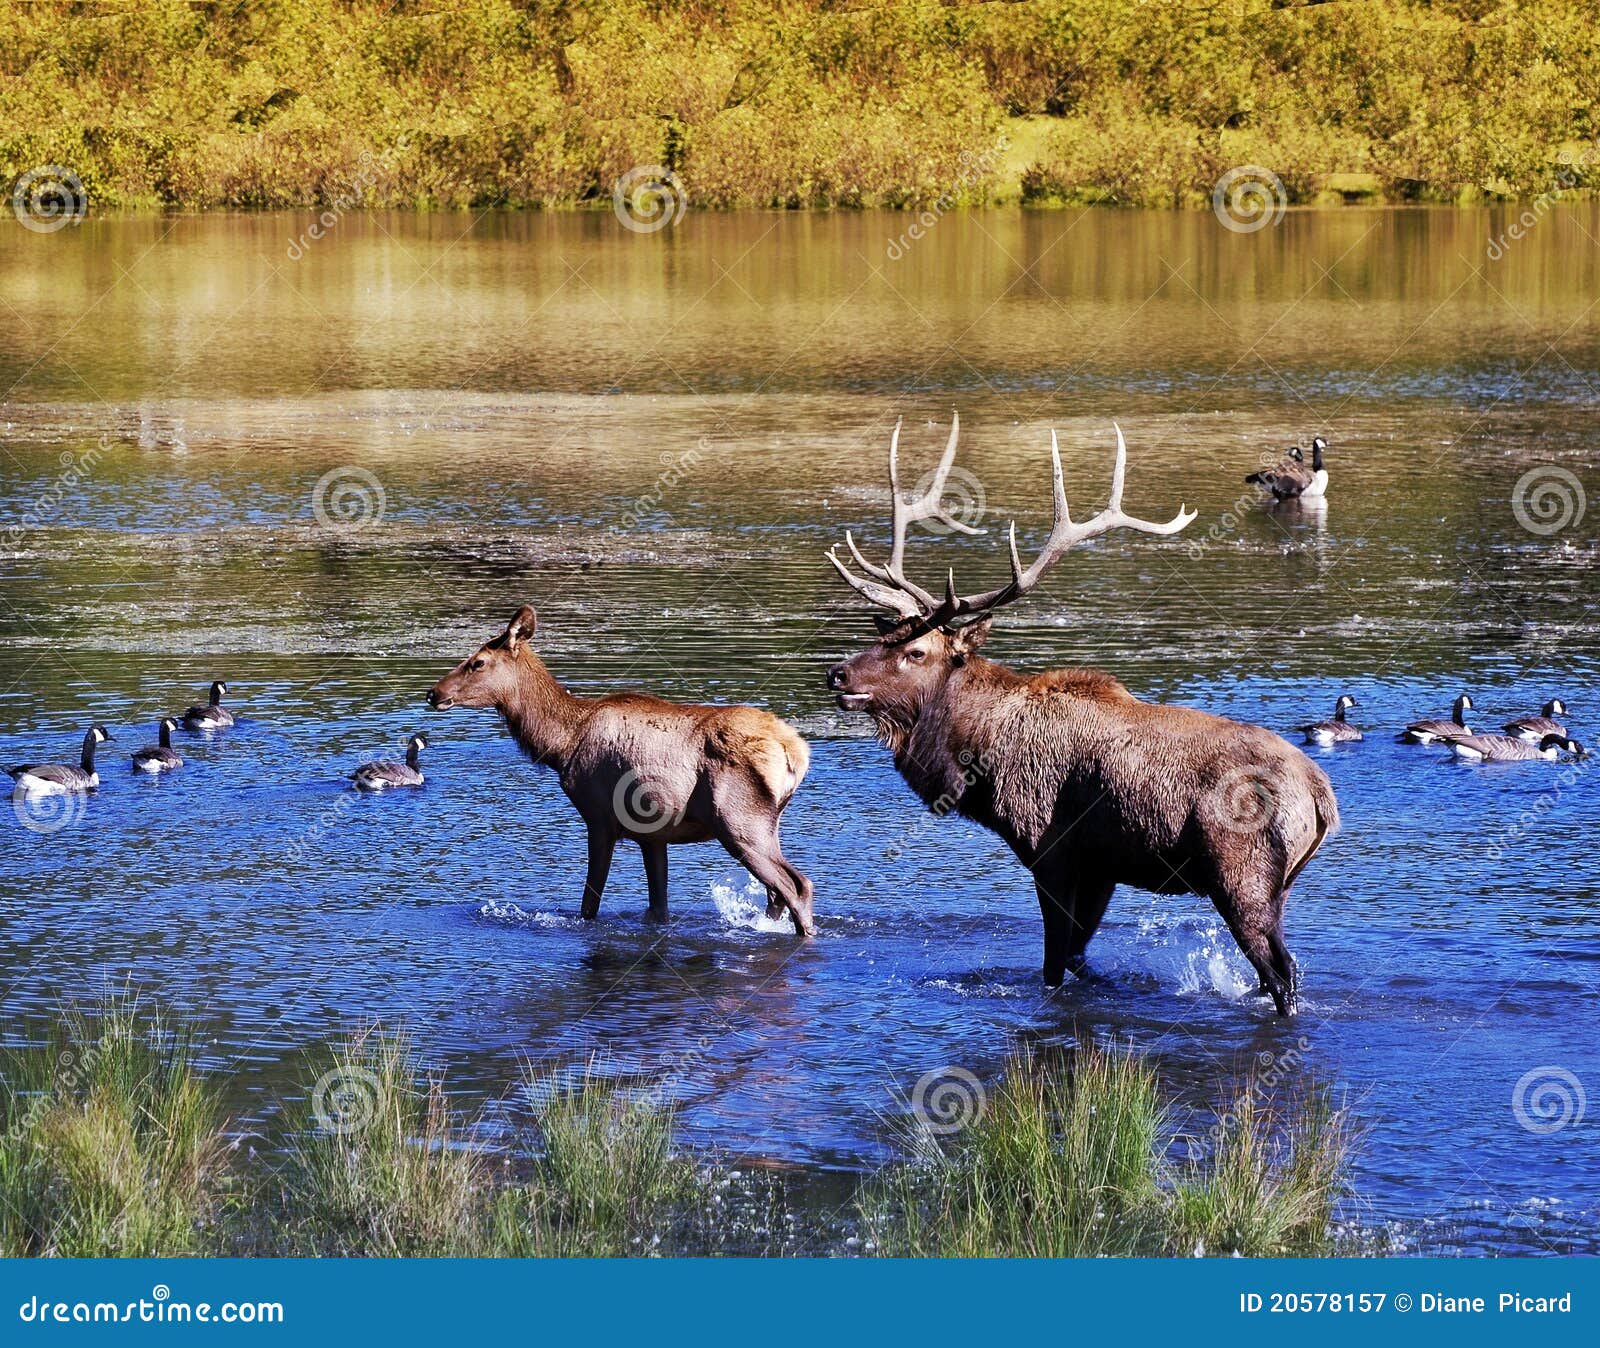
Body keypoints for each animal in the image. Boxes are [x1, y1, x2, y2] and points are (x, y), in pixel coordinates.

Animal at [427, 605, 815, 934]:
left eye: (477, 662)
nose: (434, 693)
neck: (562, 743)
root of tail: (795, 752)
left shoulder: (599, 817)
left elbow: (589, 905)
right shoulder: (653, 835)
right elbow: (658, 908)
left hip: (738, 821)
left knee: (796, 886)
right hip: (765, 824)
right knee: (778, 894)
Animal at [823, 416, 1339, 1016]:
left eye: (917, 652)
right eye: (882, 636)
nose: (838, 674)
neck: (975, 762)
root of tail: (1321, 799)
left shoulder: (1052, 850)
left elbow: (1053, 964)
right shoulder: (1101, 868)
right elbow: (1077, 956)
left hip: (1242, 875)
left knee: (1282, 974)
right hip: (1278, 885)